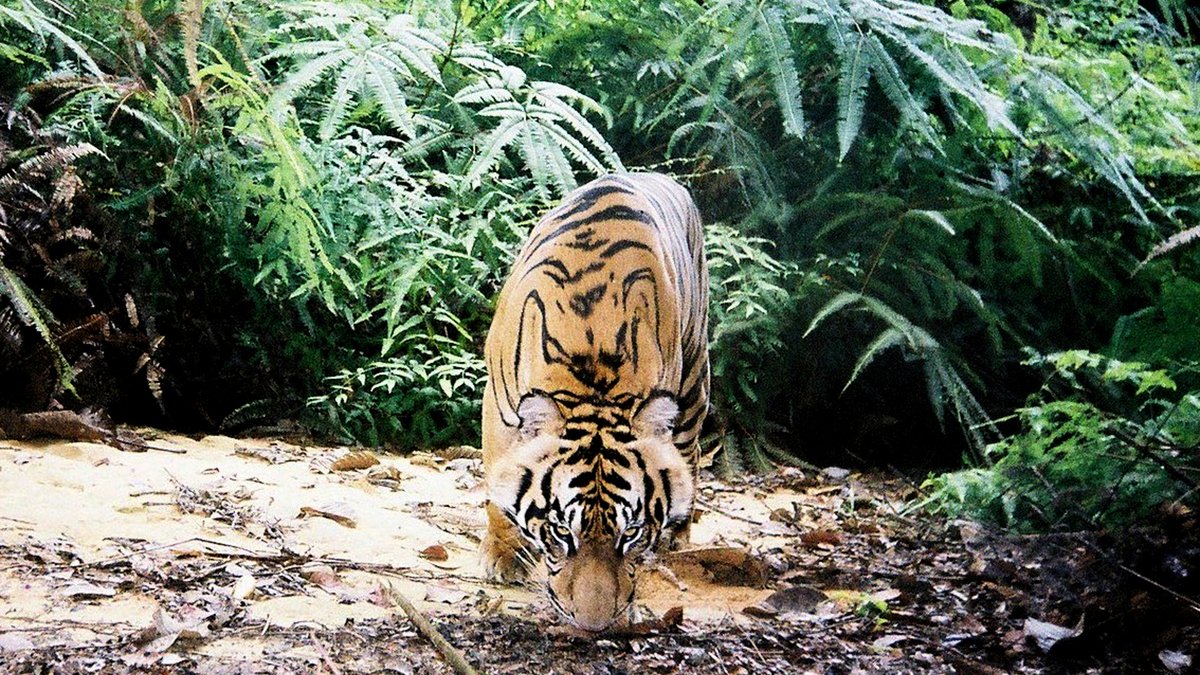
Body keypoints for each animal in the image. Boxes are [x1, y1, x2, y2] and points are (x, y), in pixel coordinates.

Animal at [480, 172, 710, 632]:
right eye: (561, 532)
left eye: (632, 533)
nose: (595, 625)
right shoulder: (498, 408)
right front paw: (504, 556)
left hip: (695, 382)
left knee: (691, 453)